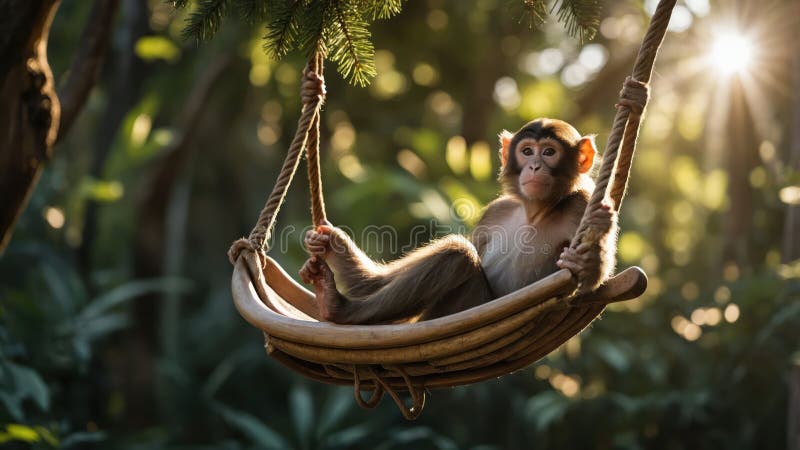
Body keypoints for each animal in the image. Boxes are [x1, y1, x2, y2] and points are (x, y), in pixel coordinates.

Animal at [297, 72, 617, 324]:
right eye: (527, 151)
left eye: (549, 152)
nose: (535, 166)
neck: (535, 212)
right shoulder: (496, 211)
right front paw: (332, 242)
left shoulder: (580, 204)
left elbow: (589, 283)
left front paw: (588, 260)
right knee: (453, 256)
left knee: (458, 255)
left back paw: (339, 309)